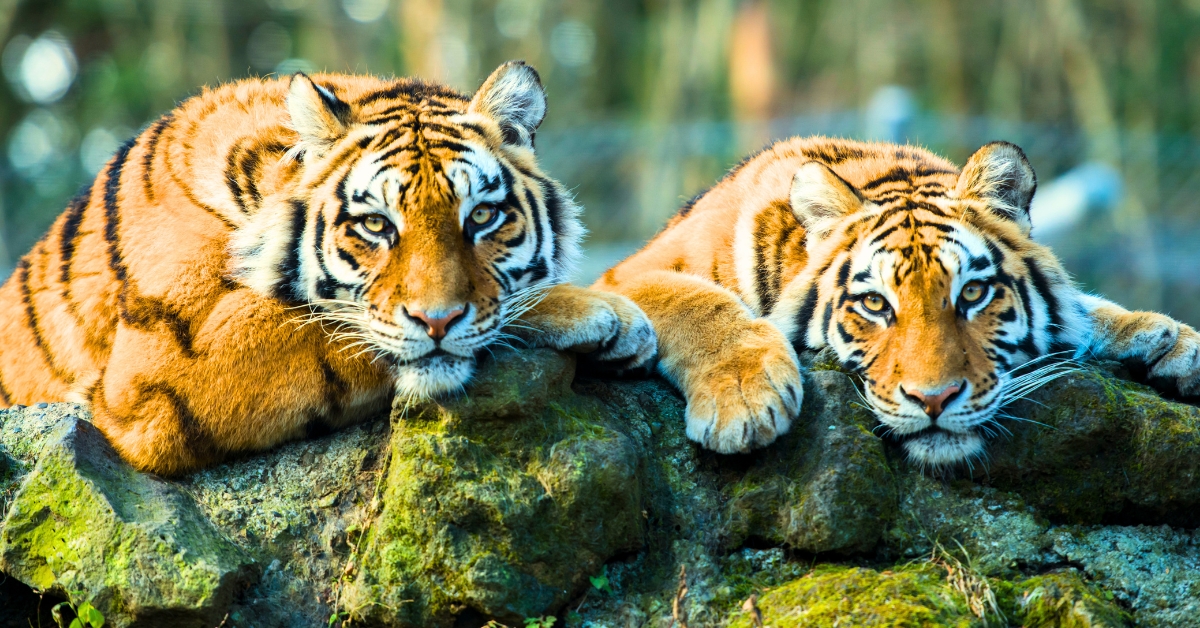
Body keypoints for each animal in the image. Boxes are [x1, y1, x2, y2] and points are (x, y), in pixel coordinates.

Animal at [0, 61, 656, 476]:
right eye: (376, 226)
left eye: (483, 216)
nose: (438, 321)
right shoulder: (157, 369)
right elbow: (332, 328)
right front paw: (605, 314)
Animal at [595, 137, 1200, 466]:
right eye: (874, 305)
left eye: (972, 293)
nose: (934, 401)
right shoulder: (623, 276)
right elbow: (695, 299)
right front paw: (743, 401)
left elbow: (1083, 305)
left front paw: (1171, 338)